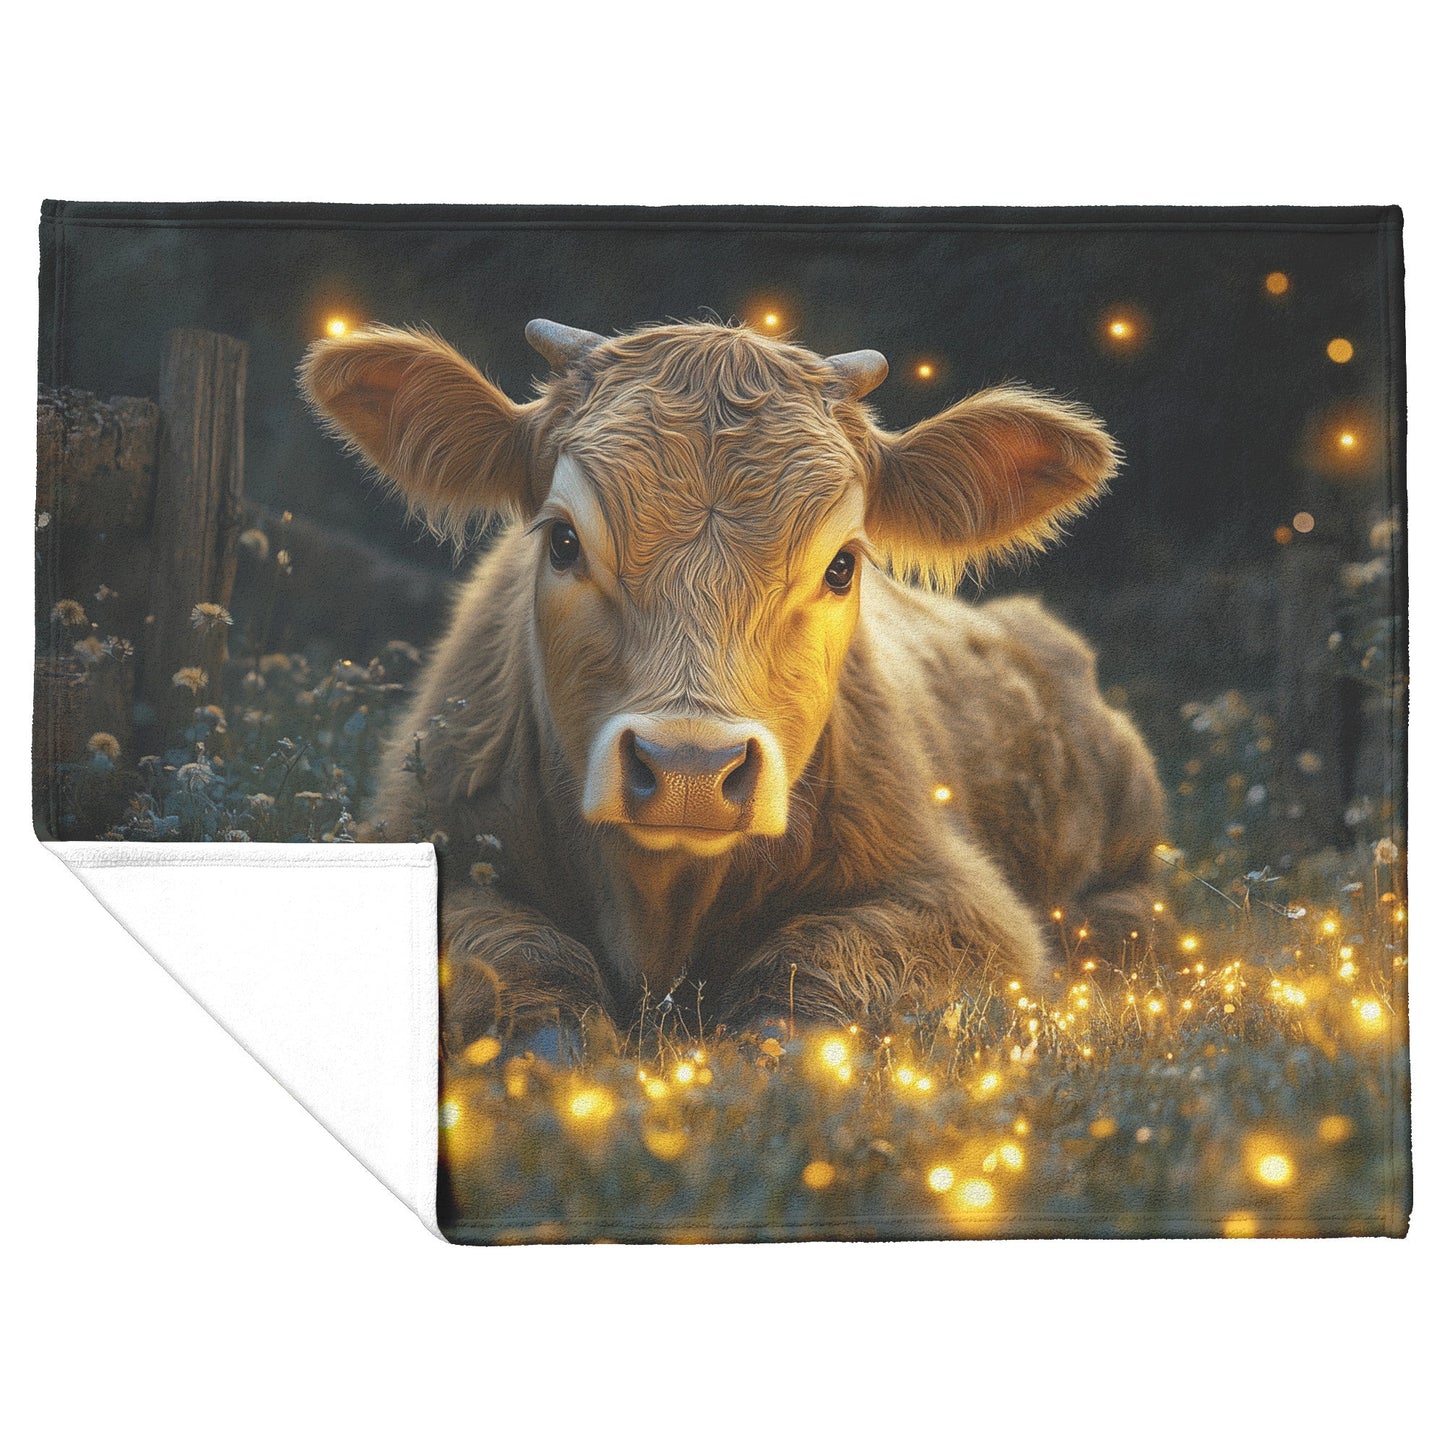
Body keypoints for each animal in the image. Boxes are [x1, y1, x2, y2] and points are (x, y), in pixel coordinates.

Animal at [300, 318, 1165, 1051]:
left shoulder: (962, 902)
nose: (689, 768)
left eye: (841, 564)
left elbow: (808, 982)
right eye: (564, 540)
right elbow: (517, 960)